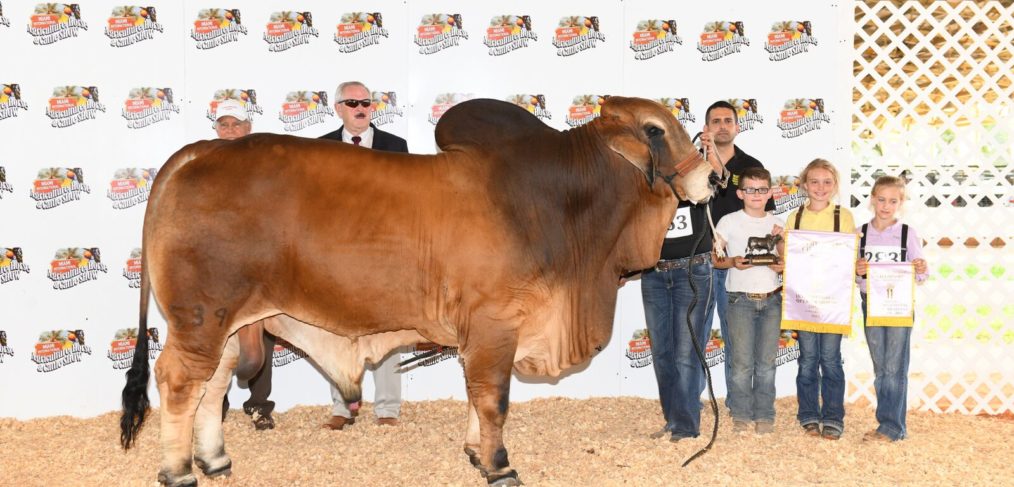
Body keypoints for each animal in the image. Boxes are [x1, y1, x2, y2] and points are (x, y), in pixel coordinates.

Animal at [119, 97, 721, 487]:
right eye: (654, 130)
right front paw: (499, 465)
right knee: (178, 384)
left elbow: (477, 396)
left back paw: (215, 461)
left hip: (227, 324)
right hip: (201, 317)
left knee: (214, 385)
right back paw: (177, 472)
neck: (556, 199)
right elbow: (494, 398)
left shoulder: (482, 336)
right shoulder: (495, 324)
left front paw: (475, 454)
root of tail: (200, 151)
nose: (712, 179)